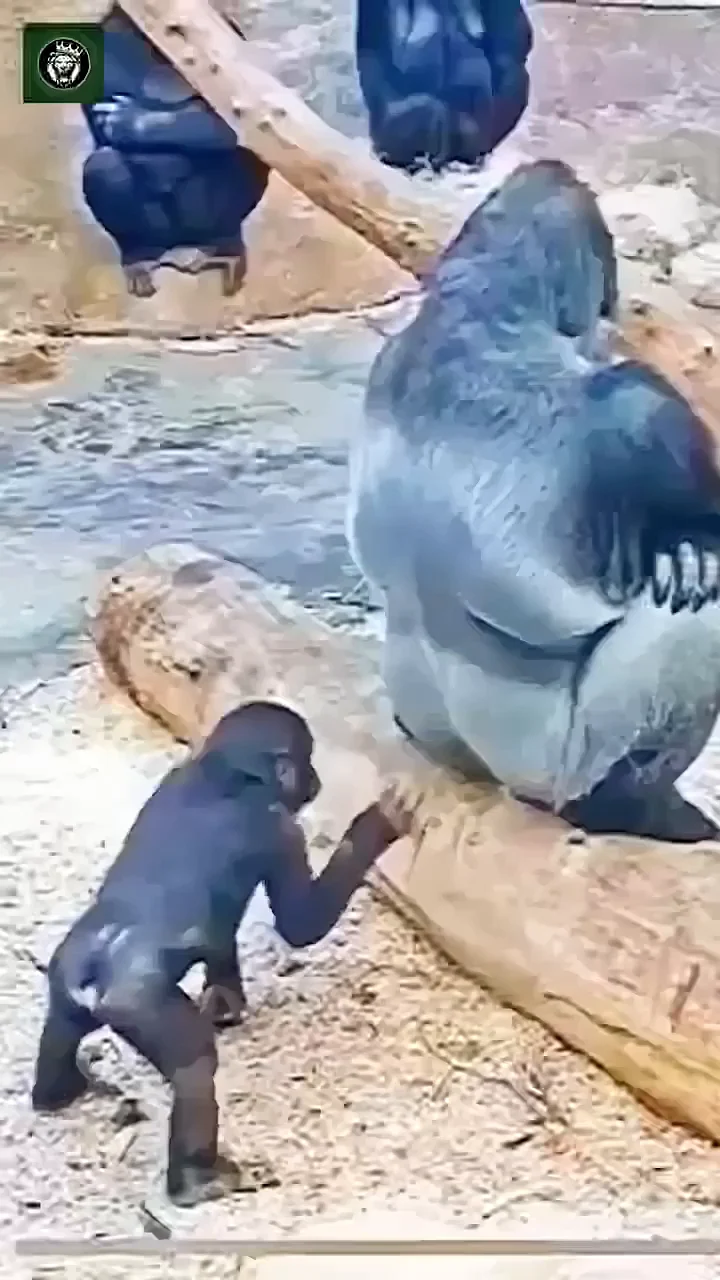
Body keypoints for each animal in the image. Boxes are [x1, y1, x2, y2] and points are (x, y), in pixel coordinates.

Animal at [31, 701, 413, 1207]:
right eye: (305, 761)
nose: (314, 780)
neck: (228, 772)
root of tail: (93, 964)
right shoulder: (280, 828)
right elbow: (301, 923)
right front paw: (378, 825)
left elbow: (223, 943)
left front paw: (224, 1000)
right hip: (136, 1003)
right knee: (195, 1069)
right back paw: (195, 1179)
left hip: (63, 975)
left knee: (59, 1031)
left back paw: (59, 1090)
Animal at [346, 158, 720, 845]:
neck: (478, 315)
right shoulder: (637, 407)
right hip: (558, 776)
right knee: (699, 609)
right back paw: (636, 807)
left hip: (437, 741)